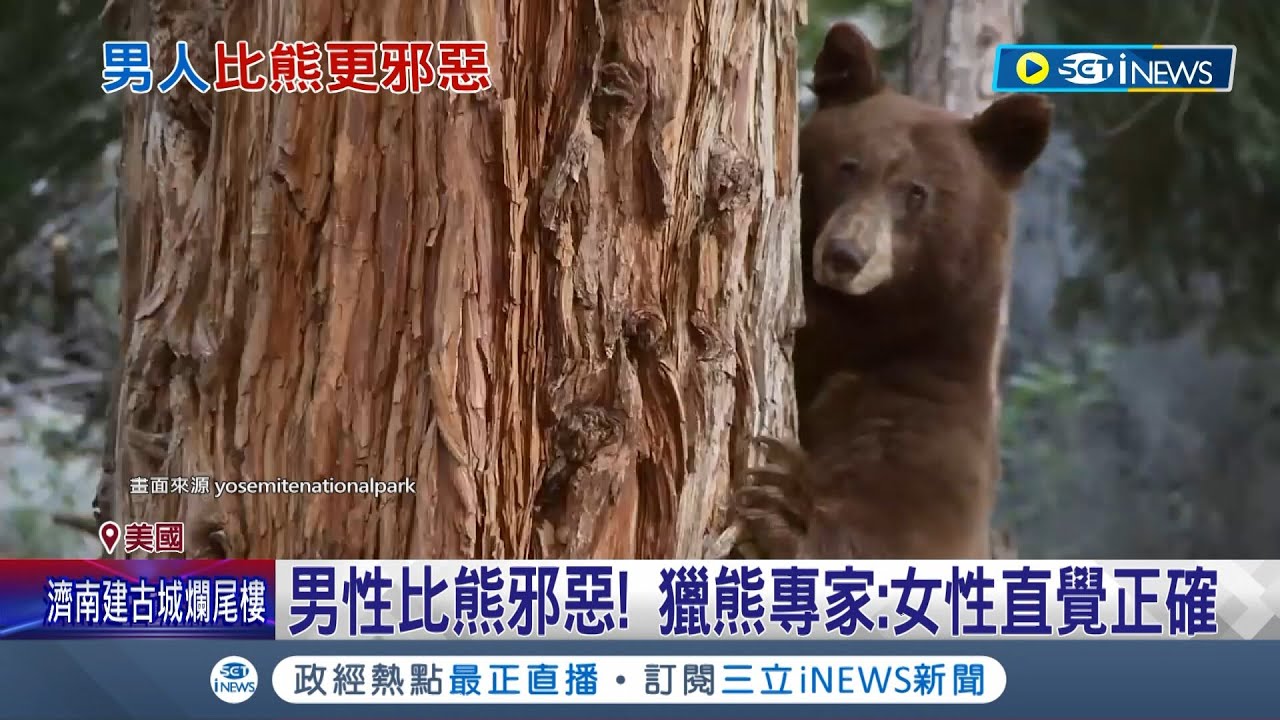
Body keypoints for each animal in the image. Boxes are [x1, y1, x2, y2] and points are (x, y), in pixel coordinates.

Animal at [731, 22, 1051, 559]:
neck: (865, 326)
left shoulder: (928, 398)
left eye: (917, 193)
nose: (844, 254)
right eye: (848, 165)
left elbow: (904, 524)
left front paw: (784, 504)